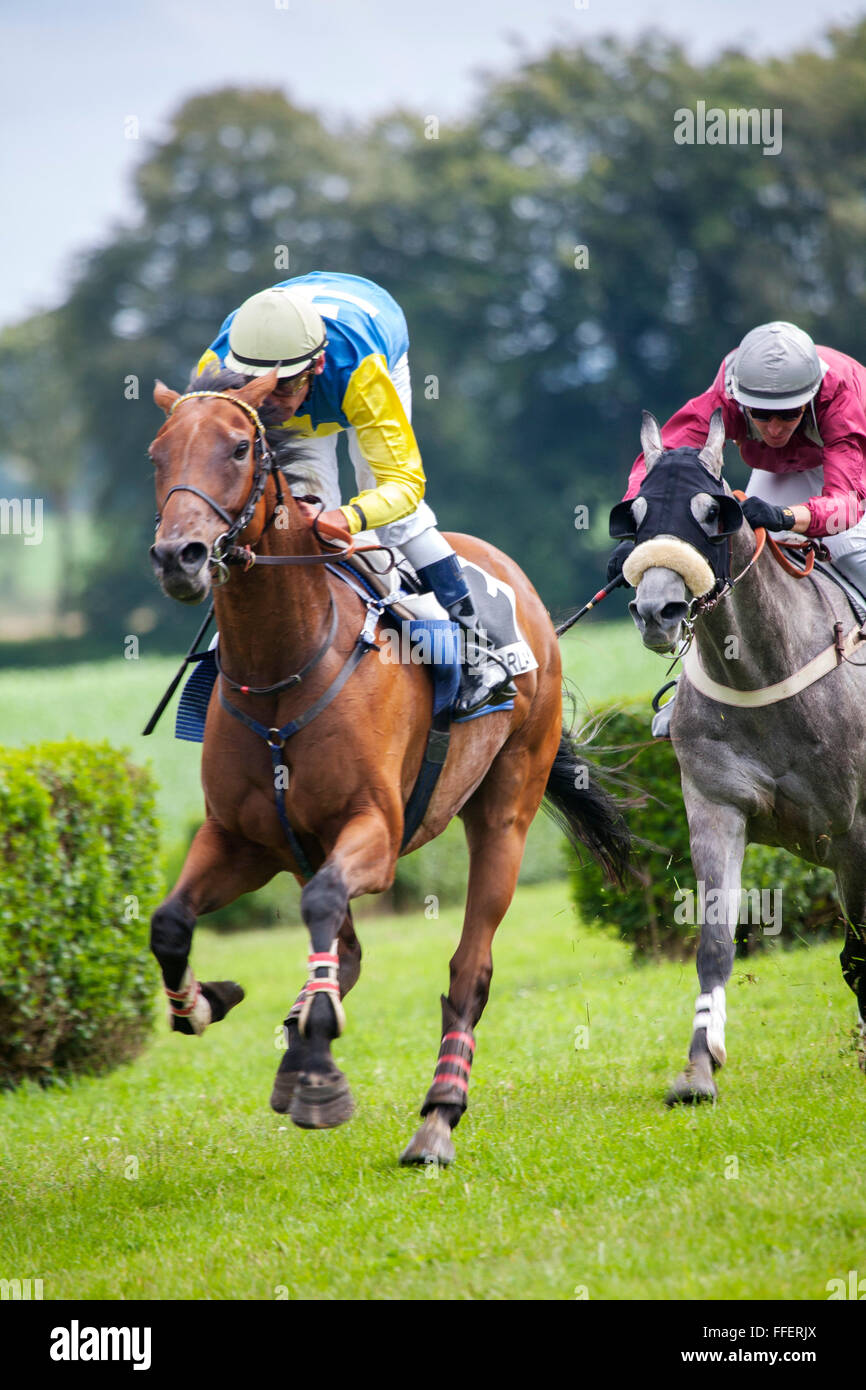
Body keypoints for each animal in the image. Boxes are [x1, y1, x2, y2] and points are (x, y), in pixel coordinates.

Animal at [146, 367, 629, 1164]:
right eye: (157, 454)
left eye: (241, 446)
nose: (178, 556)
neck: (284, 670)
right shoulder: (243, 839)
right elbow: (170, 923)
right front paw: (205, 1002)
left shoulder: (374, 829)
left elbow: (322, 911)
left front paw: (318, 1072)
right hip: (308, 847)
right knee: (346, 950)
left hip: (505, 806)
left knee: (469, 968)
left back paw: (436, 1116)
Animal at [613, 408, 866, 1104]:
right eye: (635, 514)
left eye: (713, 513)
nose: (657, 610)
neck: (760, 673)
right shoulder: (715, 807)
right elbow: (715, 942)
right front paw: (699, 1067)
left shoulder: (854, 828)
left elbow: (862, 948)